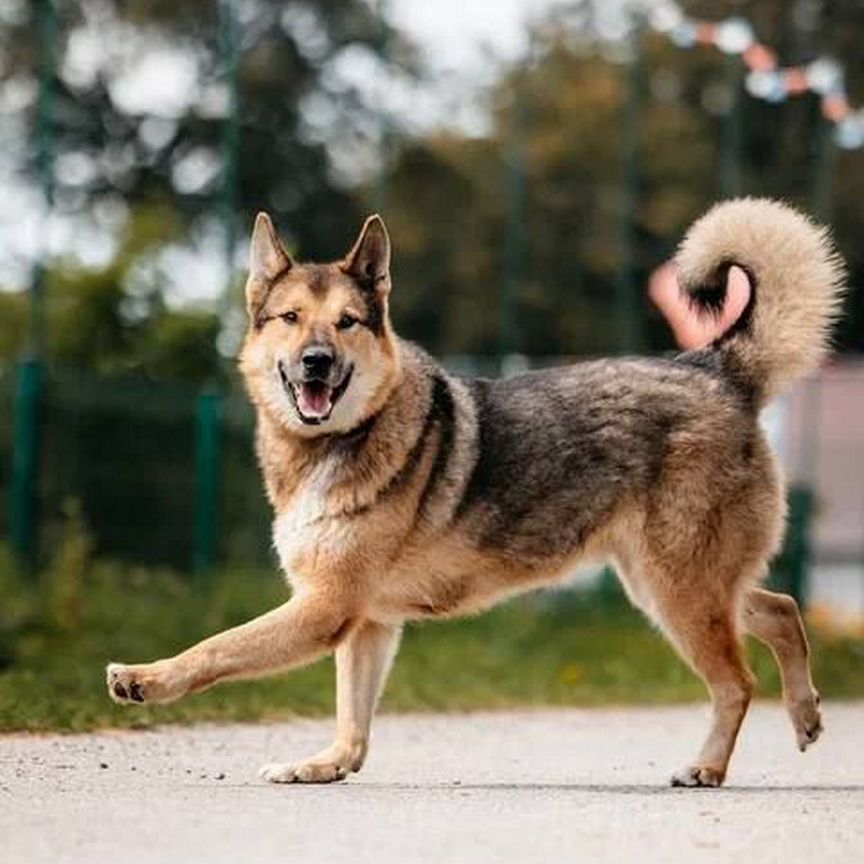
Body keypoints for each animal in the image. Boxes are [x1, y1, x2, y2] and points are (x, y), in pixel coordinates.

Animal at [106, 199, 844, 788]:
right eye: (290, 318)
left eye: (347, 323)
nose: (316, 363)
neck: (337, 440)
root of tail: (716, 369)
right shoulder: (366, 624)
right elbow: (352, 720)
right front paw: (325, 767)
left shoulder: (325, 610)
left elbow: (215, 649)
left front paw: (146, 678)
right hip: (675, 586)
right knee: (781, 610)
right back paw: (806, 715)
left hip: (677, 593)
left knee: (737, 682)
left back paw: (708, 768)